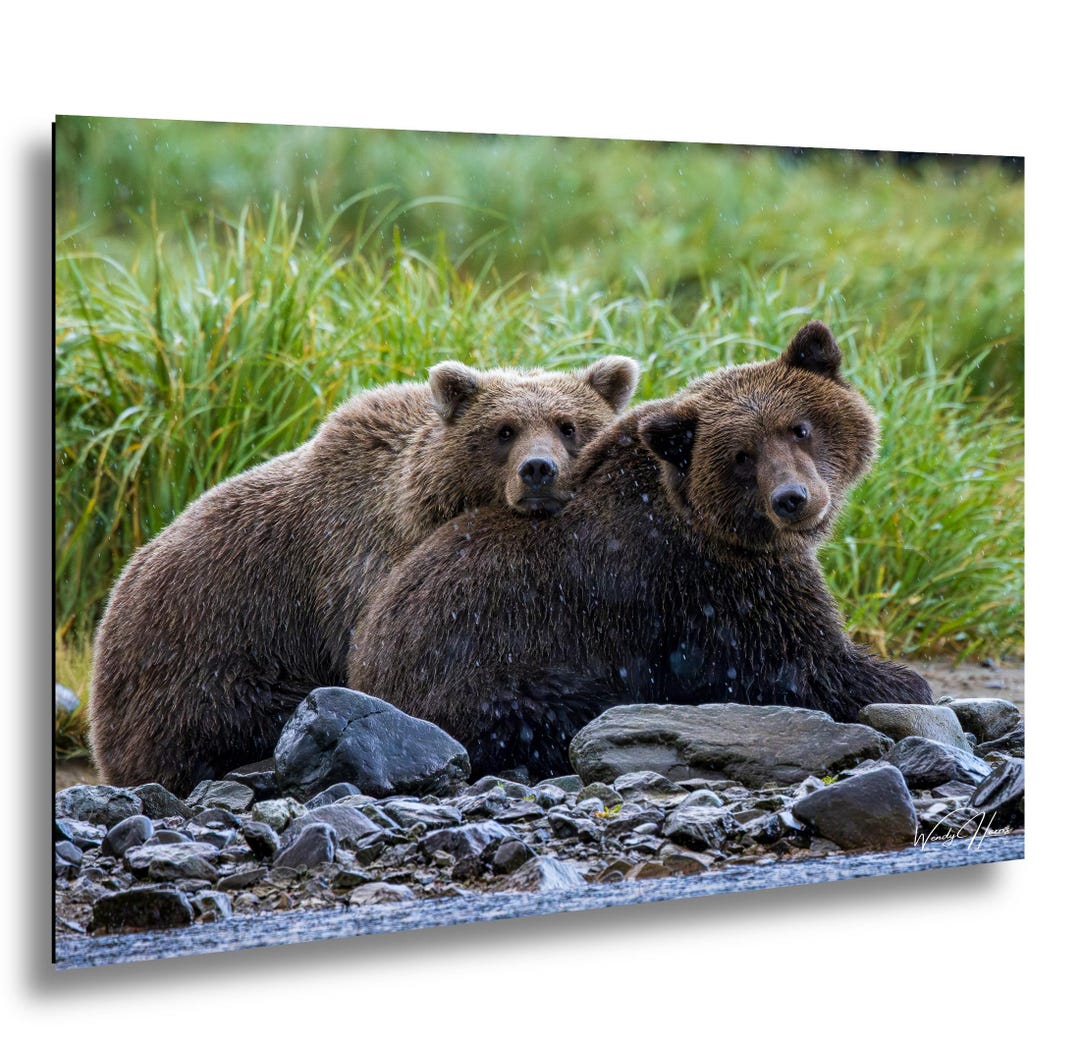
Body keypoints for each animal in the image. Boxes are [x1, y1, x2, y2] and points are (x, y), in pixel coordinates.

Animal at [88, 355, 640, 794]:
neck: (422, 510)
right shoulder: (355, 567)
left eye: (568, 425)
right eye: (504, 430)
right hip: (203, 667)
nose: (538, 469)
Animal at [347, 321, 933, 779]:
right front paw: (905, 682)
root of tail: (366, 668)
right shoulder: (713, 583)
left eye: (801, 427)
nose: (793, 499)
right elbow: (805, 661)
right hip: (497, 672)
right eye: (743, 456)